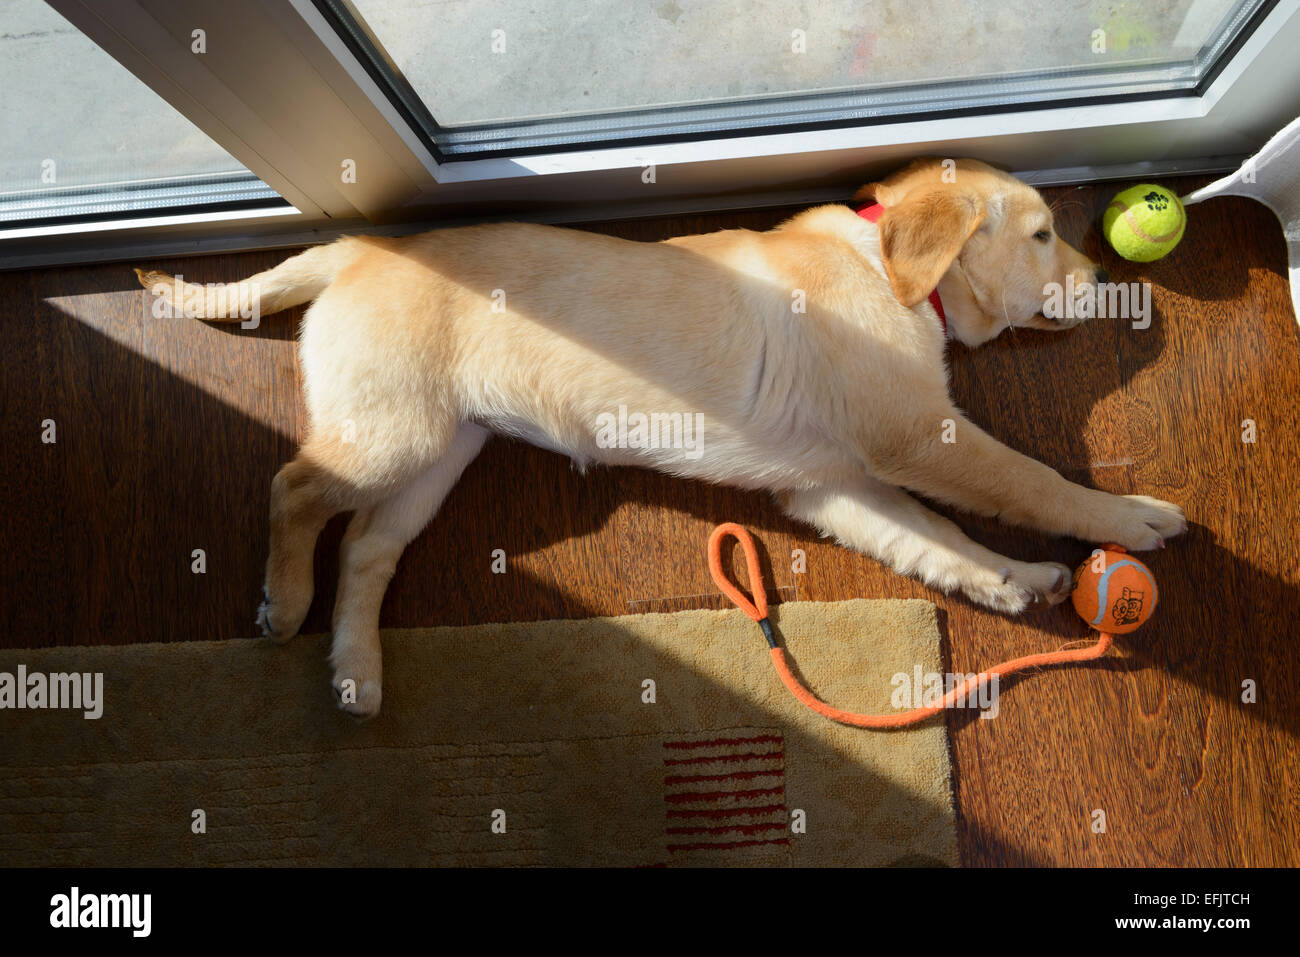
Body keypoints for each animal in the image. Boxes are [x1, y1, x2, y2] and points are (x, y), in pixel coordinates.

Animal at [137, 157, 1185, 712]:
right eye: (1044, 234)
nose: (1105, 280)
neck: (889, 270)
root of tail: (353, 249)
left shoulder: (833, 482)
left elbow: (935, 537)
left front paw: (1007, 579)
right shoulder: (920, 436)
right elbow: (1032, 482)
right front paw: (1128, 518)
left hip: (437, 449)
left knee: (365, 548)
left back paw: (356, 671)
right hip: (391, 432)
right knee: (293, 488)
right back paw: (284, 603)